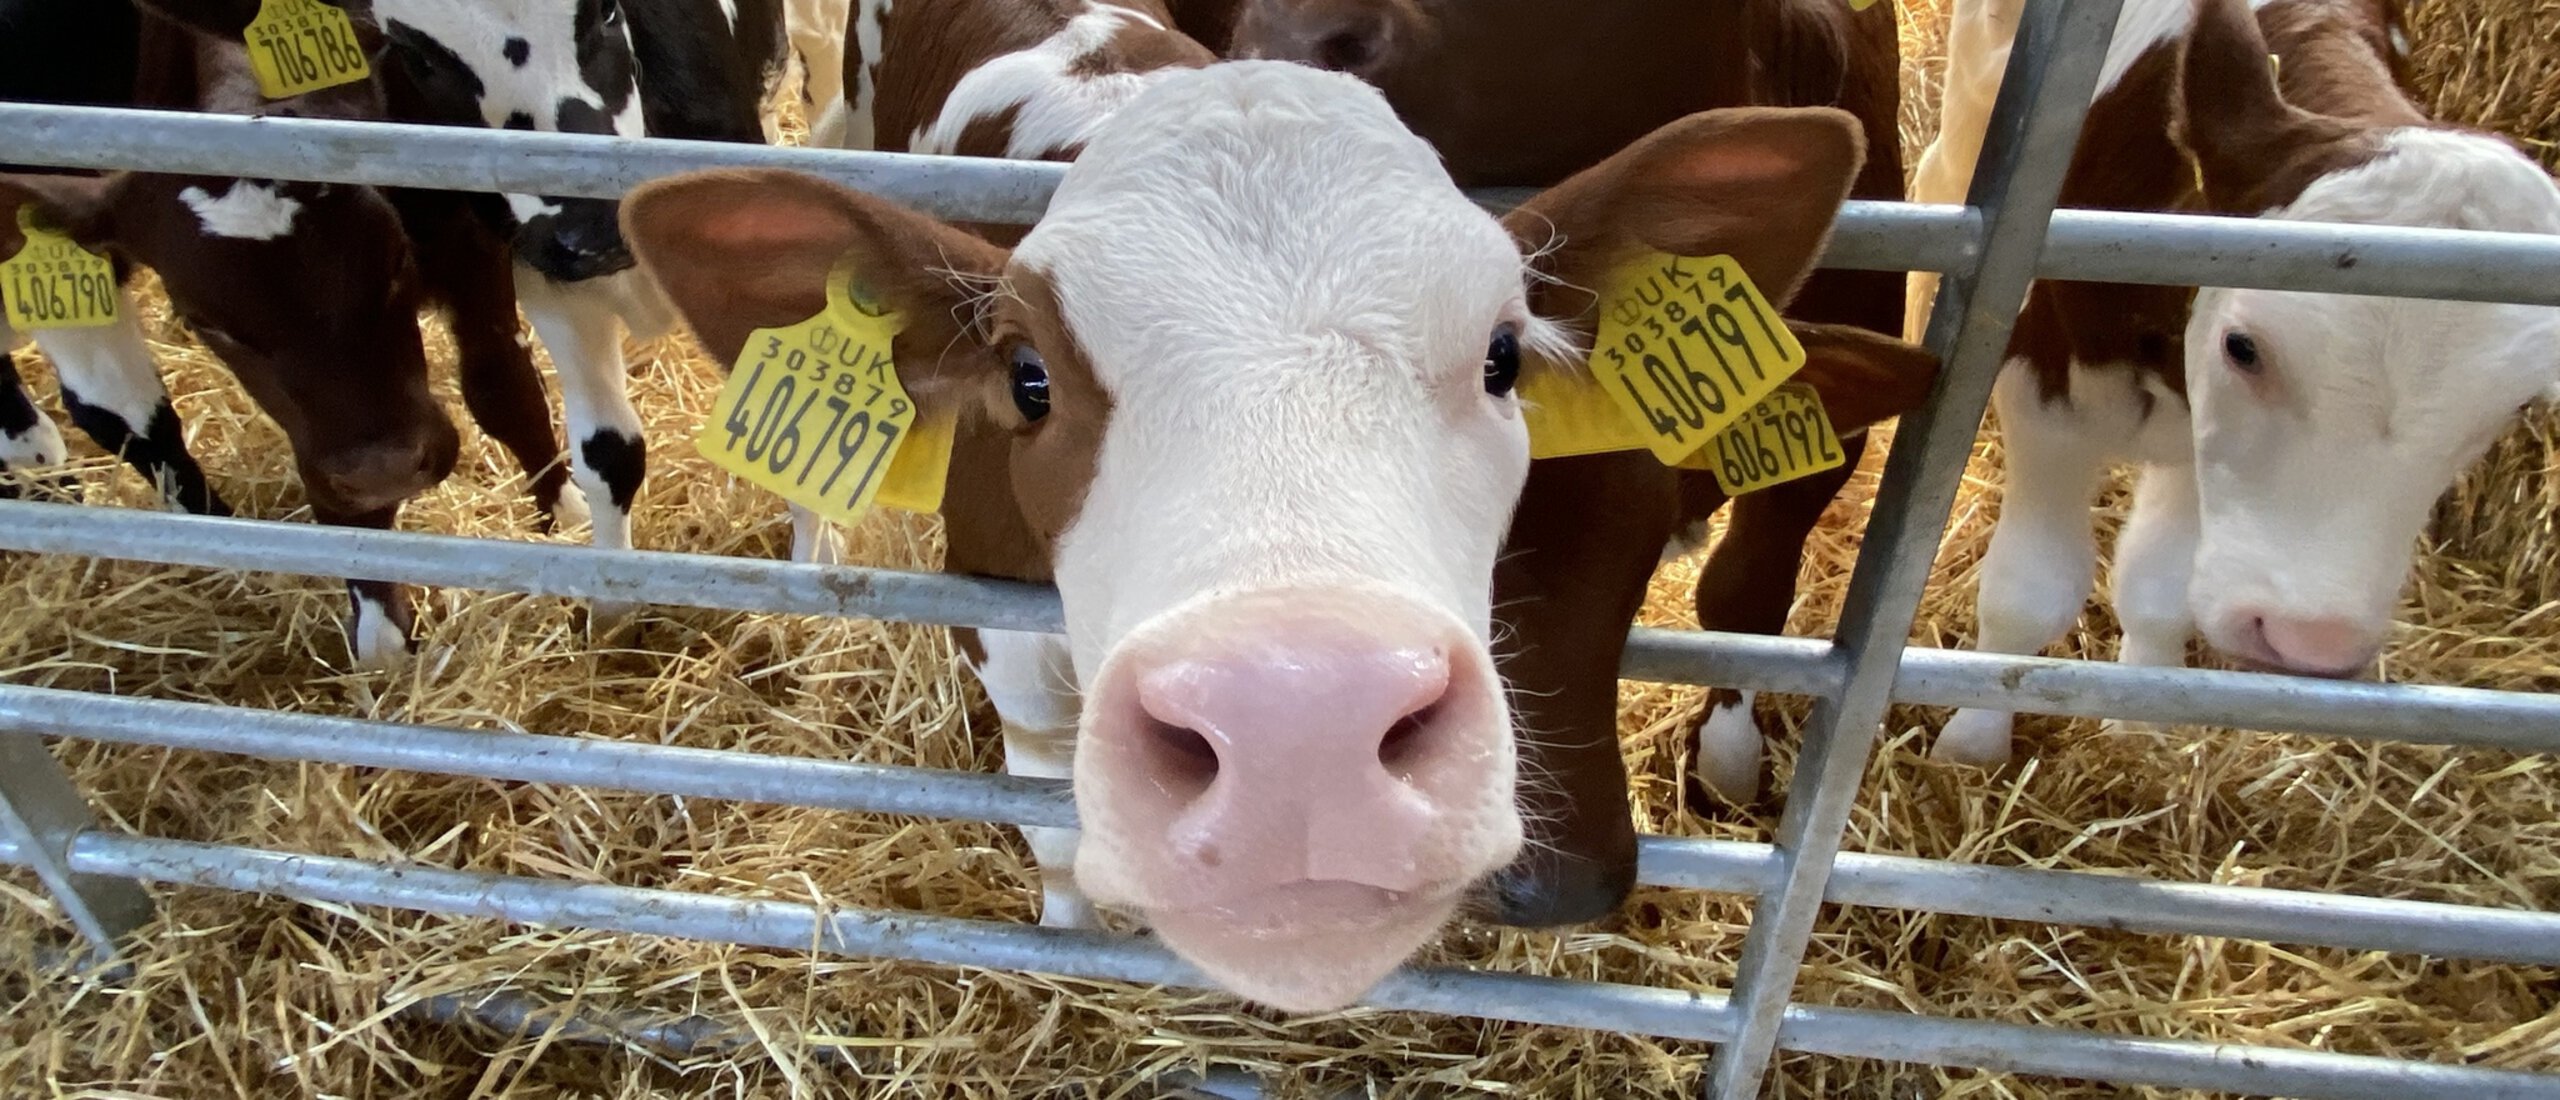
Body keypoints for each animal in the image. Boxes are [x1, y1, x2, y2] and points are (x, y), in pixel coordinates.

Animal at [1910, 0, 2560, 768]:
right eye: (2243, 347)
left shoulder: (2202, 444)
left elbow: (2159, 590)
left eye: (2516, 404)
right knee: (1937, 177)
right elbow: (2030, 590)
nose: (2312, 643)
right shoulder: (2042, 387)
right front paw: (1973, 743)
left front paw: (2142, 722)